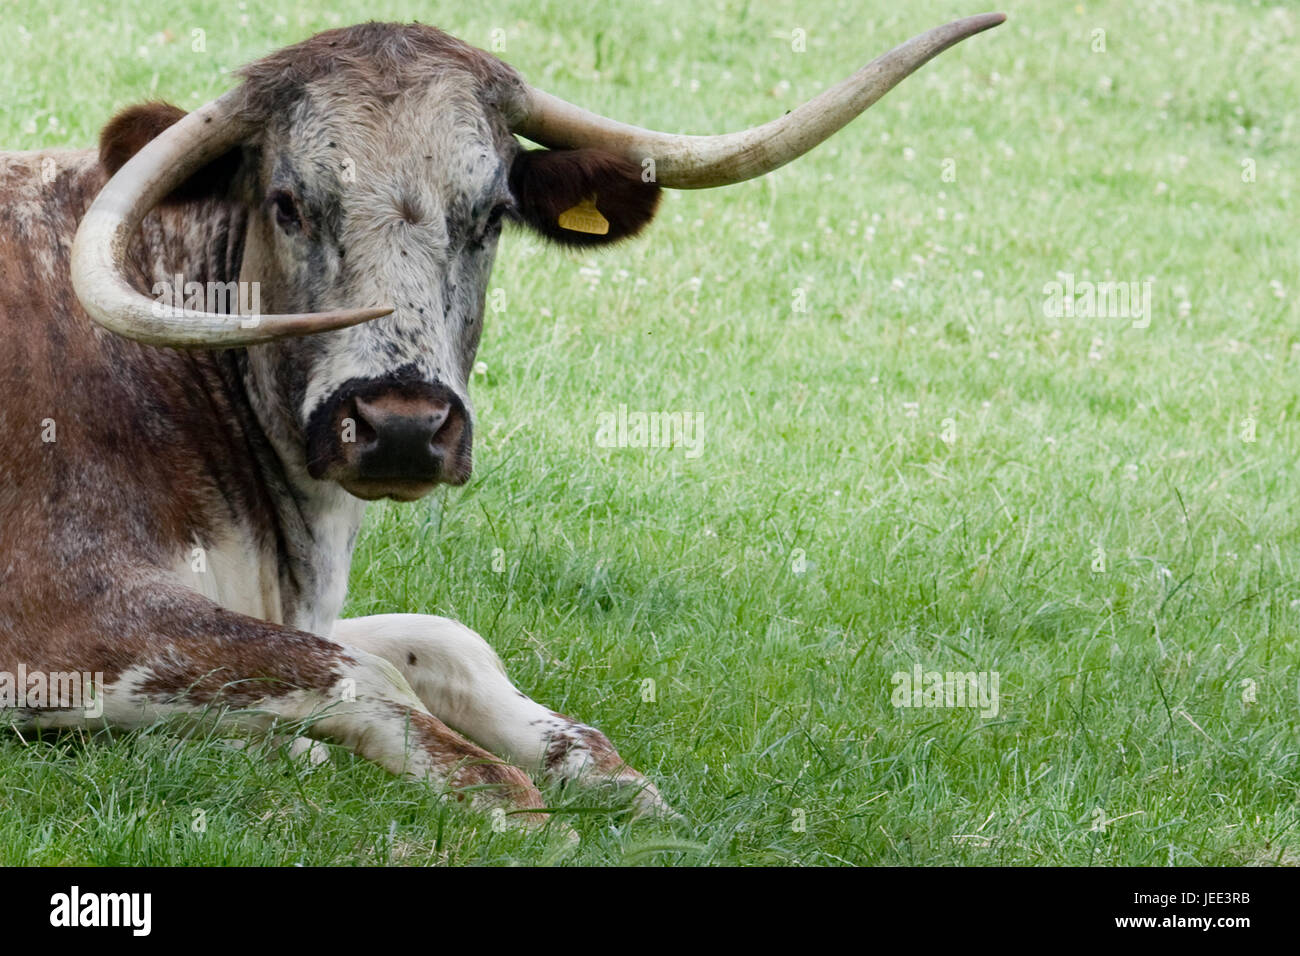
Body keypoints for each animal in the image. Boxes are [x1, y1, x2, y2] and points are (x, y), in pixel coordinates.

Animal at [0, 14, 1003, 830]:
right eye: (288, 203)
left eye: (488, 215)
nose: (403, 424)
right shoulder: (64, 616)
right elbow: (354, 673)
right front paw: (509, 801)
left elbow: (441, 642)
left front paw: (608, 779)